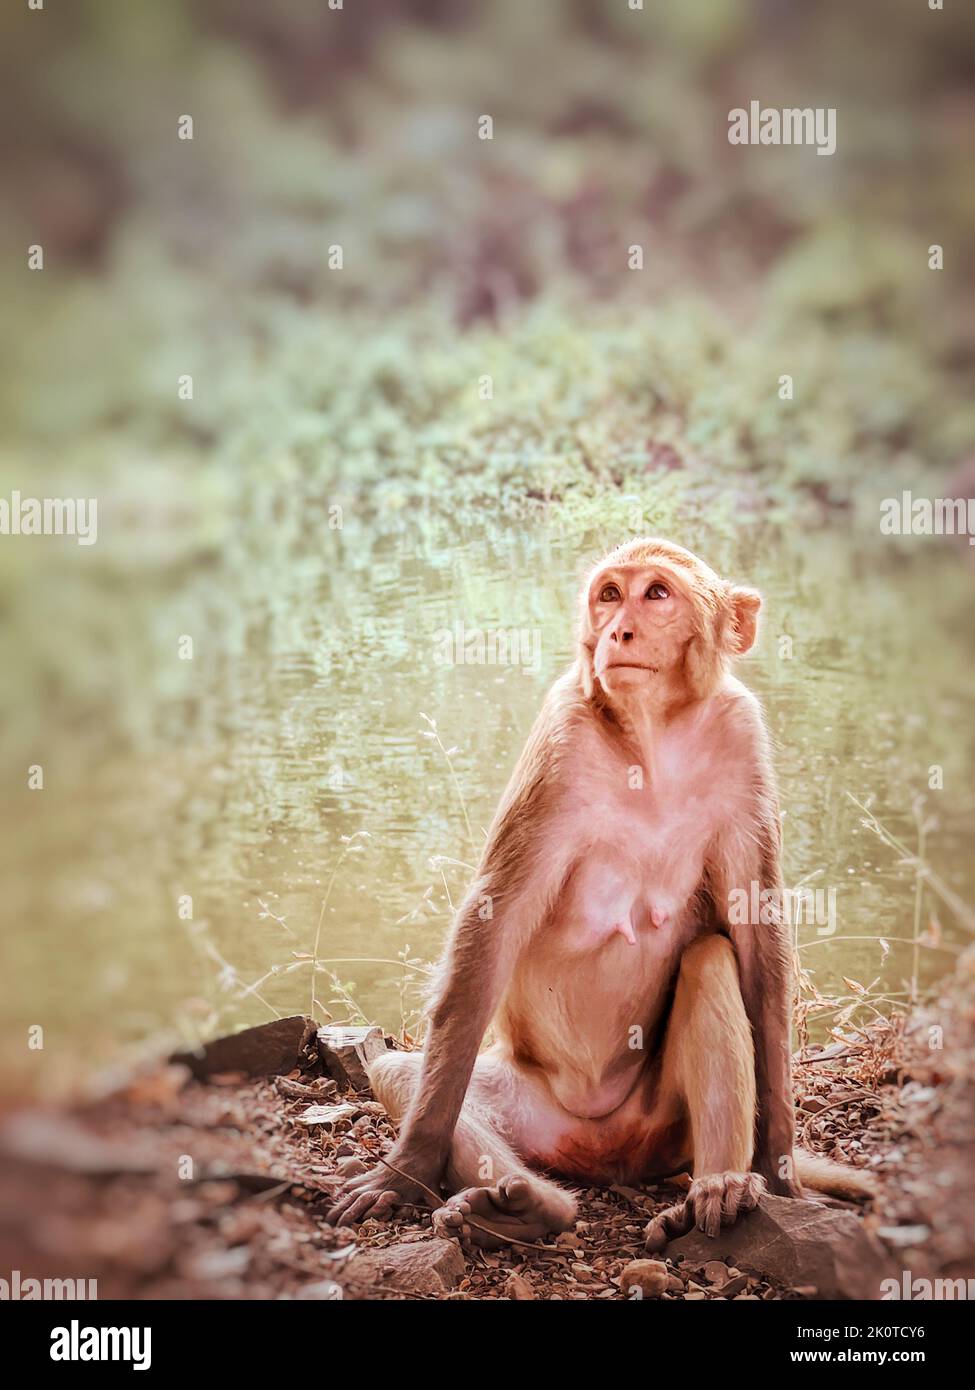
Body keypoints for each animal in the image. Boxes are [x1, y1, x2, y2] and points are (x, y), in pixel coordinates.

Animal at [327, 537, 872, 1249]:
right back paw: (530, 1208)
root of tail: (612, 1159)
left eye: (657, 594)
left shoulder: (742, 737)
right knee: (400, 1072)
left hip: (667, 1132)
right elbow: (493, 925)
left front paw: (780, 1169)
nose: (619, 631)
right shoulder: (561, 737)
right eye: (610, 594)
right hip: (543, 1121)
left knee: (710, 959)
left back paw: (718, 1188)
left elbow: (755, 941)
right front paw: (411, 1165)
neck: (652, 732)